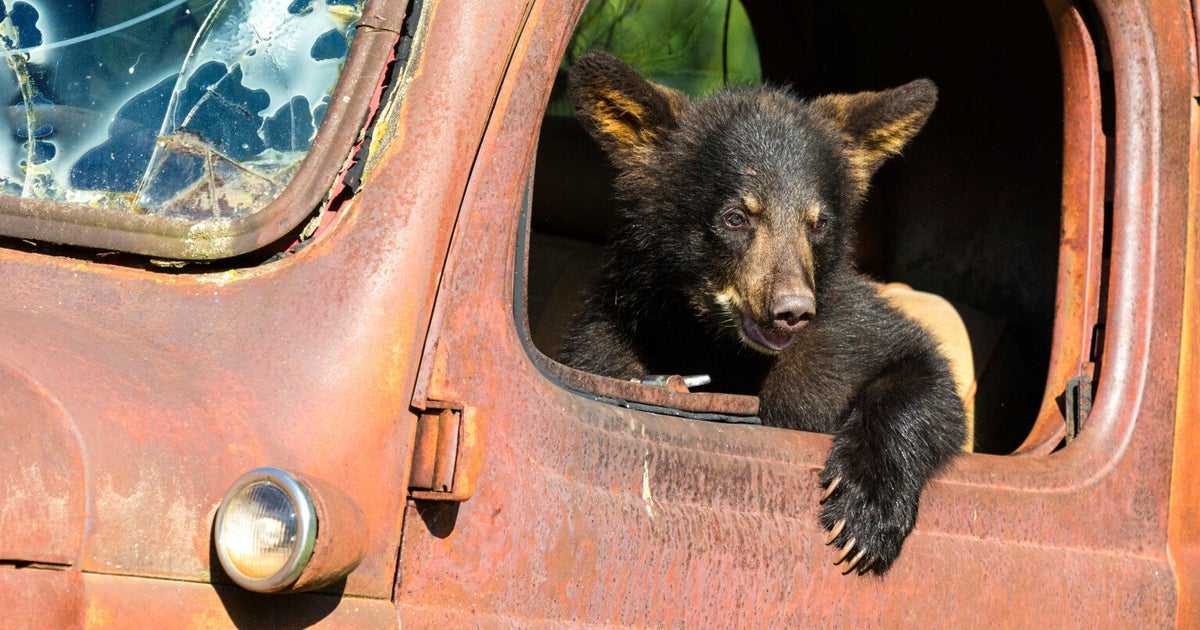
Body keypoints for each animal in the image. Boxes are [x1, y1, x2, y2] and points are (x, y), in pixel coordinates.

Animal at [555, 50, 966, 576]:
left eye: (818, 223)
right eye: (737, 217)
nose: (792, 310)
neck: (726, 347)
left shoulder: (842, 333)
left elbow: (923, 375)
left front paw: (866, 512)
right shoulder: (611, 344)